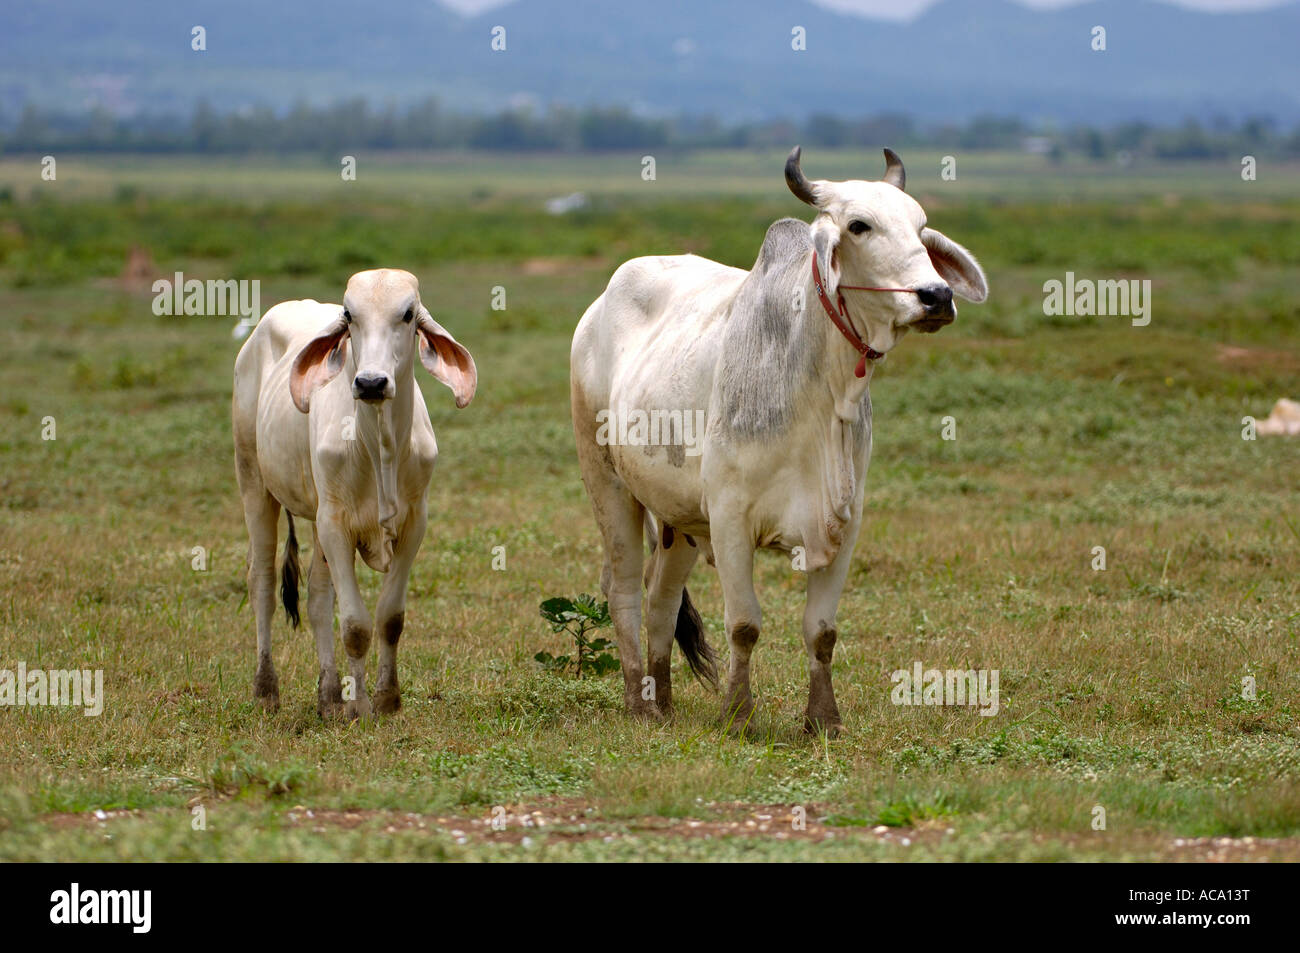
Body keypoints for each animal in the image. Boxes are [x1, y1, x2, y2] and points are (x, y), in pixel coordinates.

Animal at [232, 269, 476, 719]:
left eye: (408, 314)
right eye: (349, 315)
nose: (372, 382)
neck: (379, 447)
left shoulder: (414, 523)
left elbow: (389, 618)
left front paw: (387, 698)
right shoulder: (335, 524)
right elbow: (355, 625)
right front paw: (360, 705)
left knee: (317, 597)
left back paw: (329, 694)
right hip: (253, 482)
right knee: (263, 583)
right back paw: (266, 688)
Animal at [570, 148, 987, 734]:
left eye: (920, 226)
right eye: (859, 226)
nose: (936, 296)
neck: (820, 392)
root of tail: (597, 308)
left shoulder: (846, 524)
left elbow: (822, 631)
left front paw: (823, 719)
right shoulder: (730, 520)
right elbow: (744, 624)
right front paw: (737, 715)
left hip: (679, 520)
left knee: (661, 601)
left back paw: (663, 700)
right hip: (606, 482)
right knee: (626, 591)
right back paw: (637, 702)